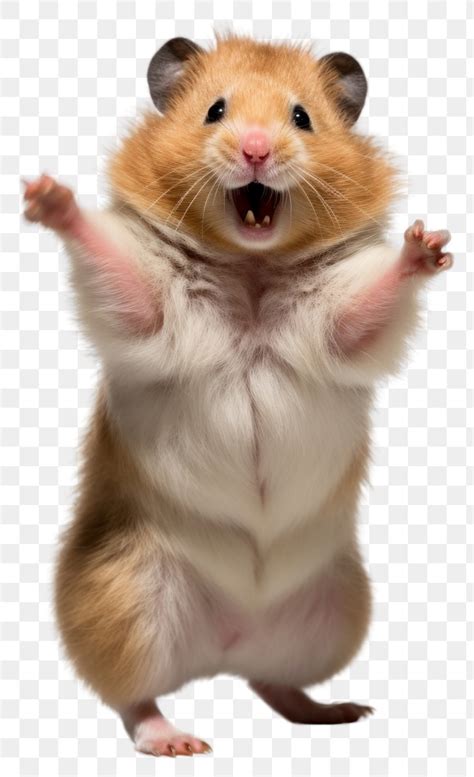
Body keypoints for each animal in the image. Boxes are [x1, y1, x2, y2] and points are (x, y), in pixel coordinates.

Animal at [23, 34, 453, 758]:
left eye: (302, 118)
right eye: (215, 110)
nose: (255, 150)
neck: (253, 263)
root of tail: (226, 641)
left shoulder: (340, 327)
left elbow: (368, 307)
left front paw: (429, 246)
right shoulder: (147, 311)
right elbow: (115, 271)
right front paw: (48, 197)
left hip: (335, 610)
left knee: (272, 682)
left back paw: (338, 710)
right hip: (125, 599)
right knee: (135, 699)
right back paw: (178, 742)